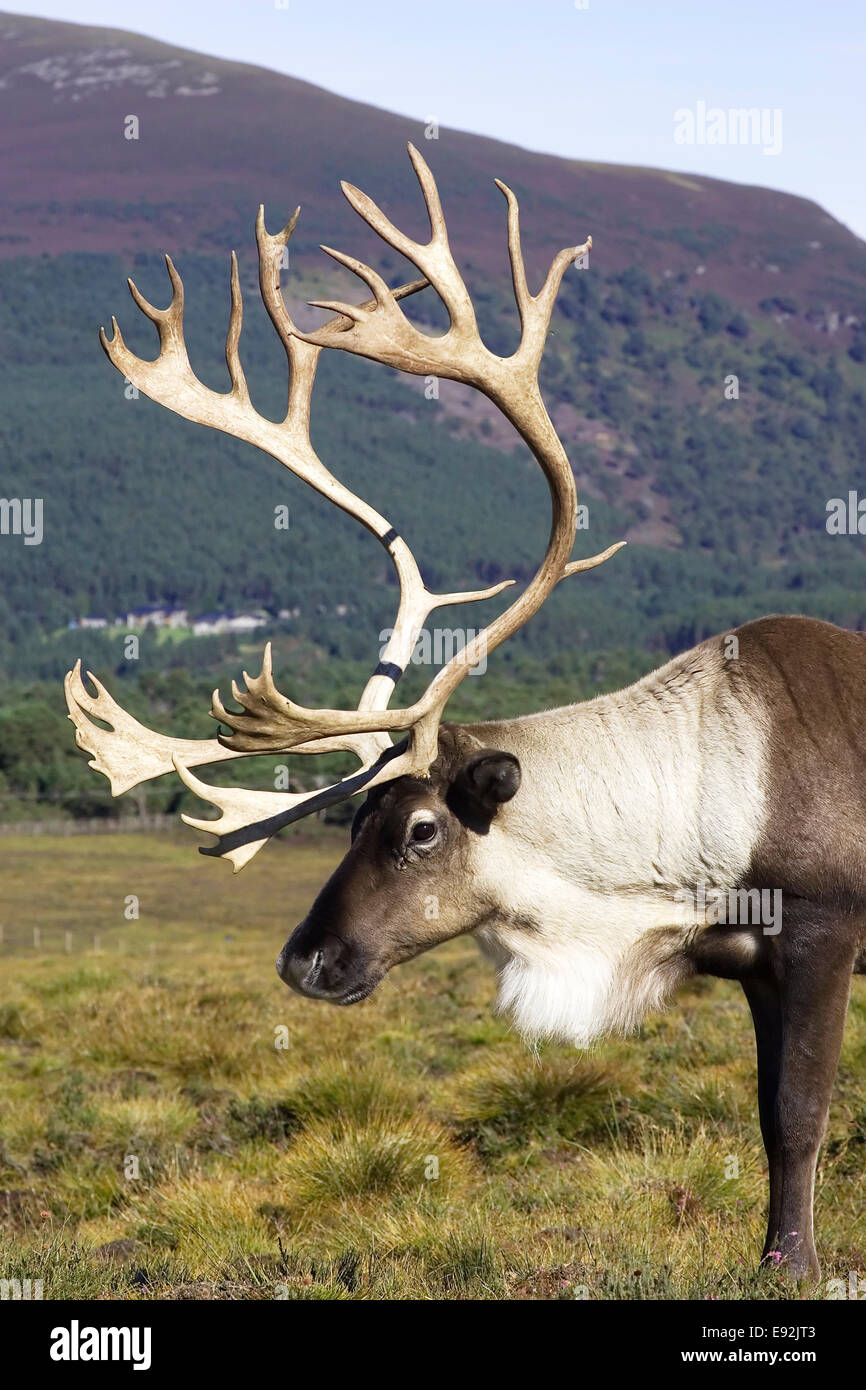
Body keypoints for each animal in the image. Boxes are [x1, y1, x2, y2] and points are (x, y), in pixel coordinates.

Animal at [65, 145, 866, 1284]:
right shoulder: (751, 963)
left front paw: (788, 1265)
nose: (304, 961)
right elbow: (764, 1114)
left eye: (420, 829)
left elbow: (797, 1114)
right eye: (347, 819)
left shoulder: (822, 932)